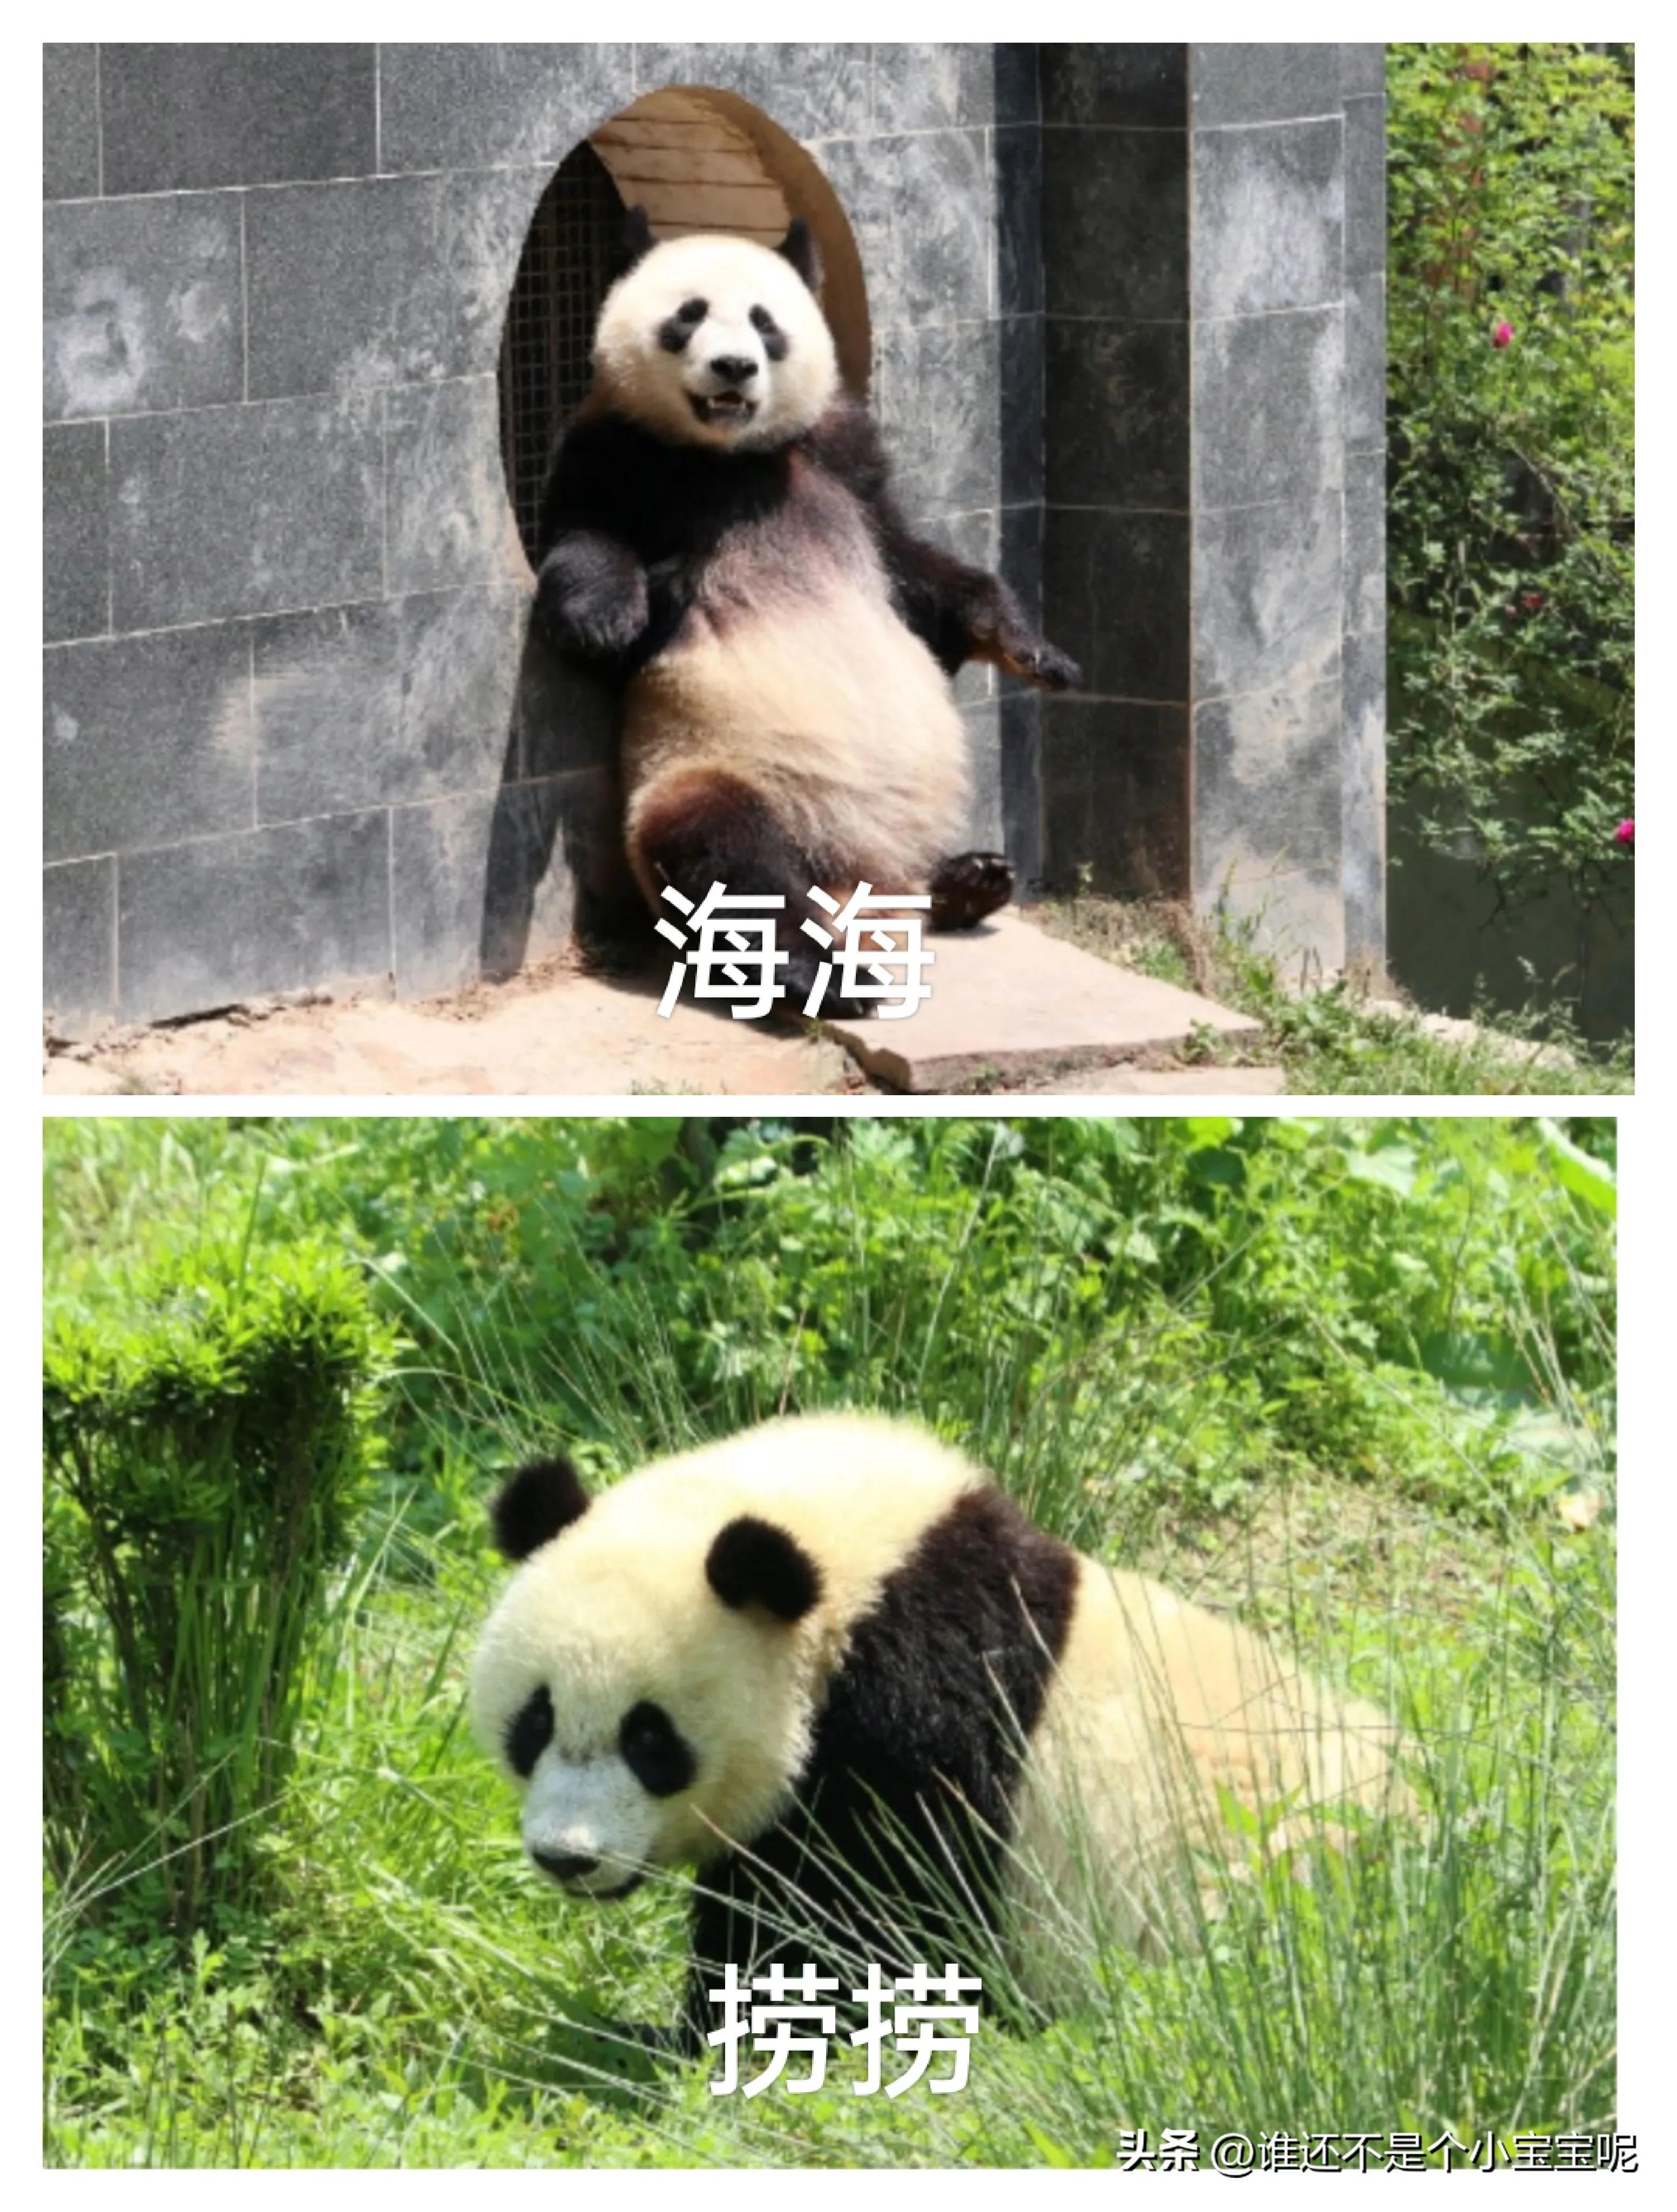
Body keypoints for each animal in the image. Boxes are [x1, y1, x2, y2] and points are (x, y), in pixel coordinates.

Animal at [469, 1413, 1410, 2046]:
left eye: (650, 1740)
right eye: (535, 1720)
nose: (567, 1856)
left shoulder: (913, 1718)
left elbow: (839, 1920)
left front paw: (684, 2038)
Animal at [531, 211, 1080, 1017]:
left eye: (766, 323)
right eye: (688, 314)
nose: (733, 367)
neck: (729, 456)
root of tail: (855, 888)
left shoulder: (844, 462)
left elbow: (921, 574)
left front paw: (1035, 652)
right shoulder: (614, 450)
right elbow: (585, 538)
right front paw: (610, 616)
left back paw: (969, 880)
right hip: (716, 766)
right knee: (725, 858)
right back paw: (823, 973)